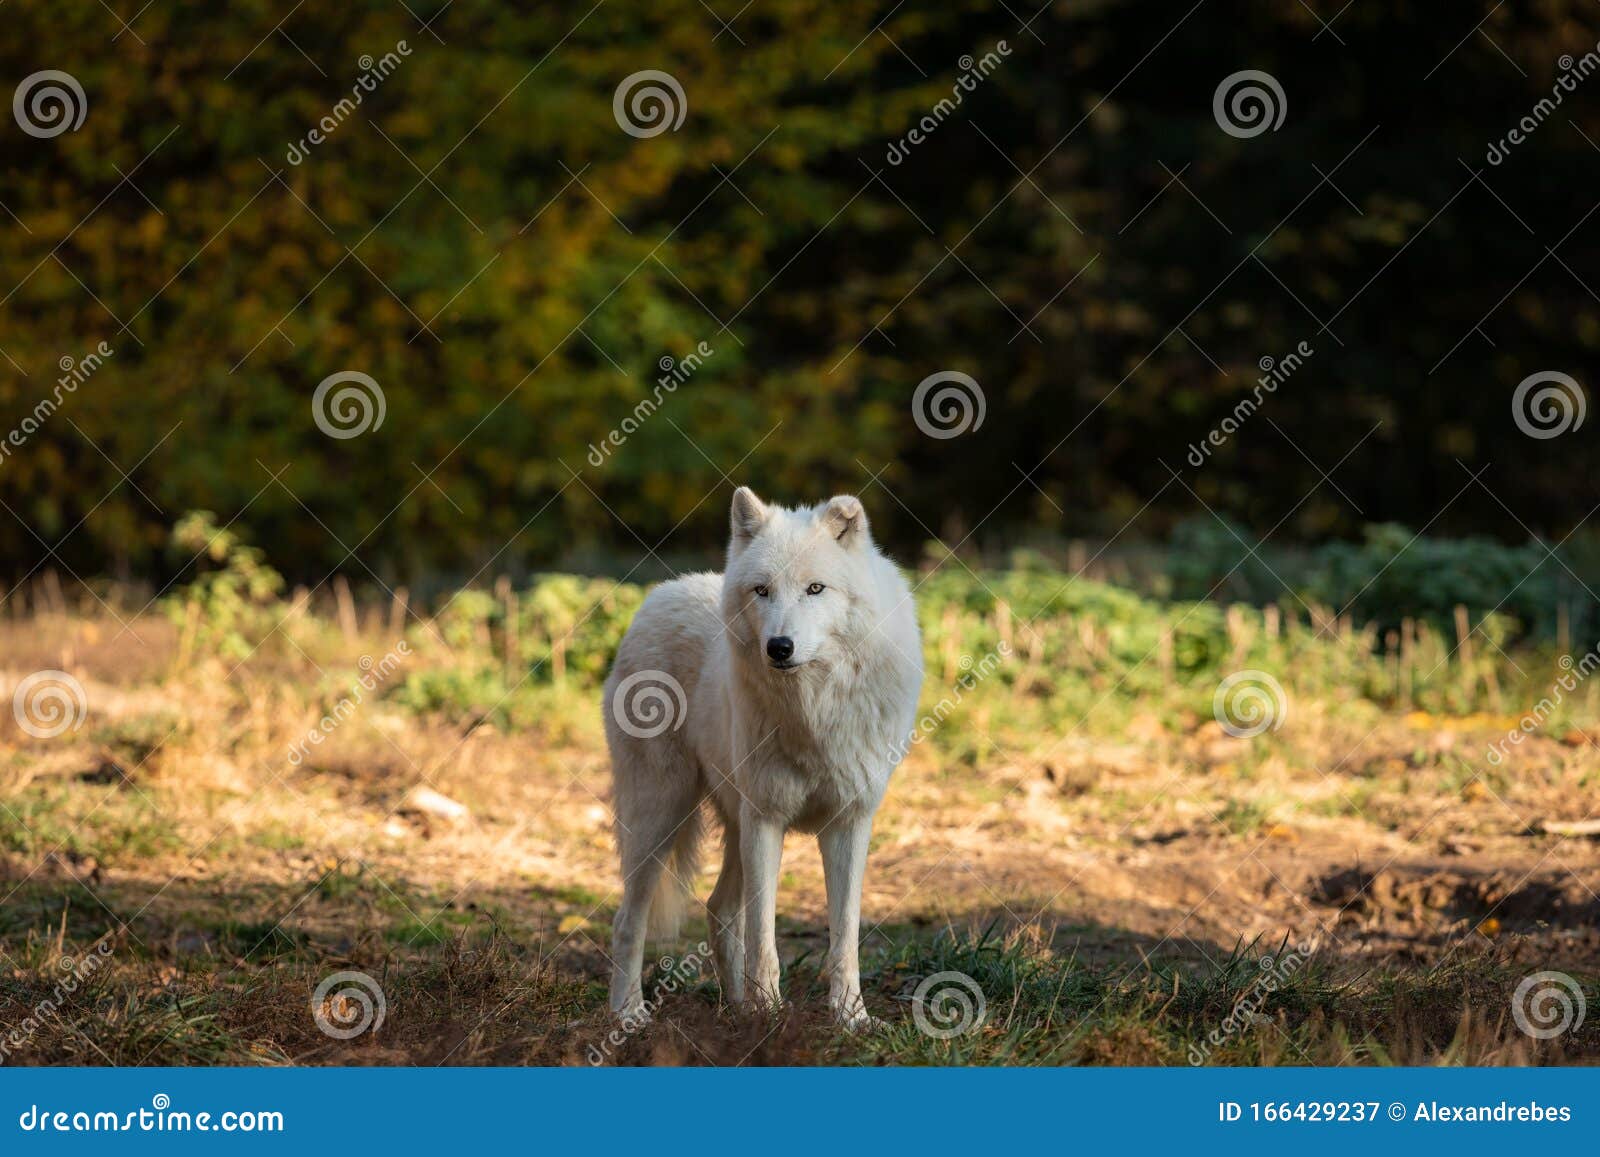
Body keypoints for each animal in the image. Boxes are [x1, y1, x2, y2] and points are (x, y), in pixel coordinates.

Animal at [602, 487, 924, 1028]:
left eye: (815, 589)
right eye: (762, 591)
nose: (779, 647)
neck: (814, 710)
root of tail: (659, 593)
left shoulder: (849, 822)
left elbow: (844, 937)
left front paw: (851, 1018)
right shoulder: (767, 820)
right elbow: (764, 936)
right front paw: (769, 1014)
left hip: (731, 821)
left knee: (718, 911)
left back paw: (733, 1007)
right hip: (661, 816)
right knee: (629, 920)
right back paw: (628, 1014)